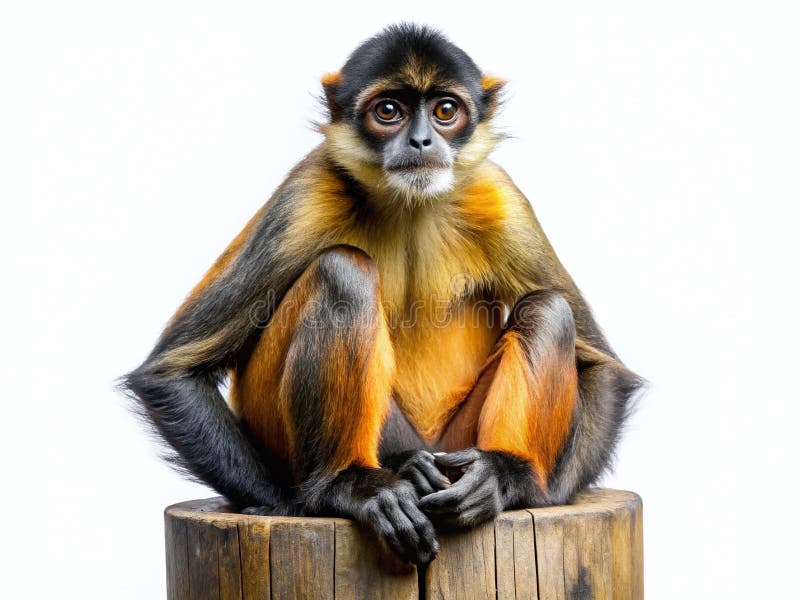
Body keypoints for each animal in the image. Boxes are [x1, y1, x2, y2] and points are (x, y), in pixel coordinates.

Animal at [123, 23, 643, 565]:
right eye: (388, 111)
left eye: (445, 110)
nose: (420, 139)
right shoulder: (308, 193)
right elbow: (170, 373)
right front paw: (295, 504)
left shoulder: (500, 198)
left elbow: (604, 368)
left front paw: (522, 486)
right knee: (342, 273)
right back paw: (361, 478)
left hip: (457, 441)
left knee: (548, 308)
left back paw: (488, 469)